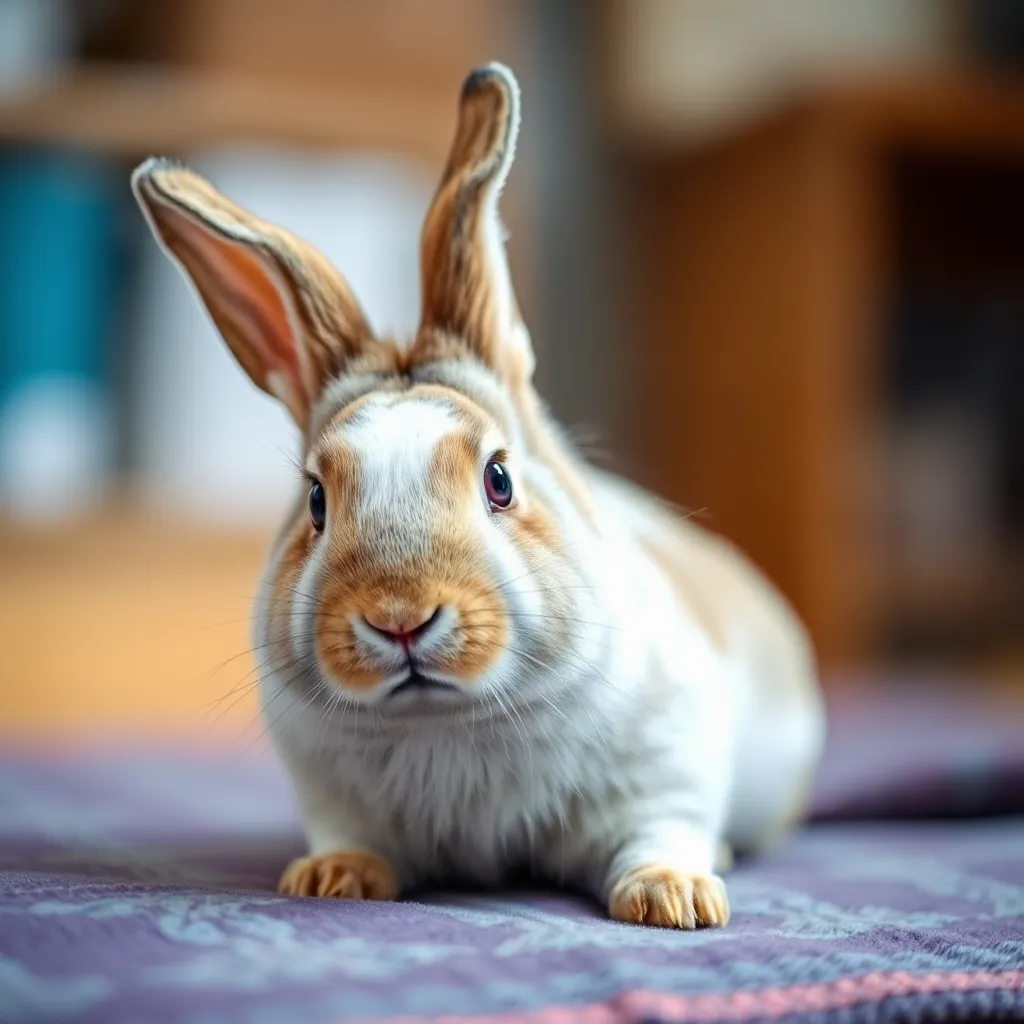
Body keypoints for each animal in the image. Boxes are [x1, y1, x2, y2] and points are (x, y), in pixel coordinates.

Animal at [131, 63, 825, 929]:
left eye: (499, 479)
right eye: (317, 501)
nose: (400, 616)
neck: (448, 723)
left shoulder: (664, 772)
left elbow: (658, 834)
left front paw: (676, 901)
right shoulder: (331, 799)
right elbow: (350, 840)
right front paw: (329, 878)